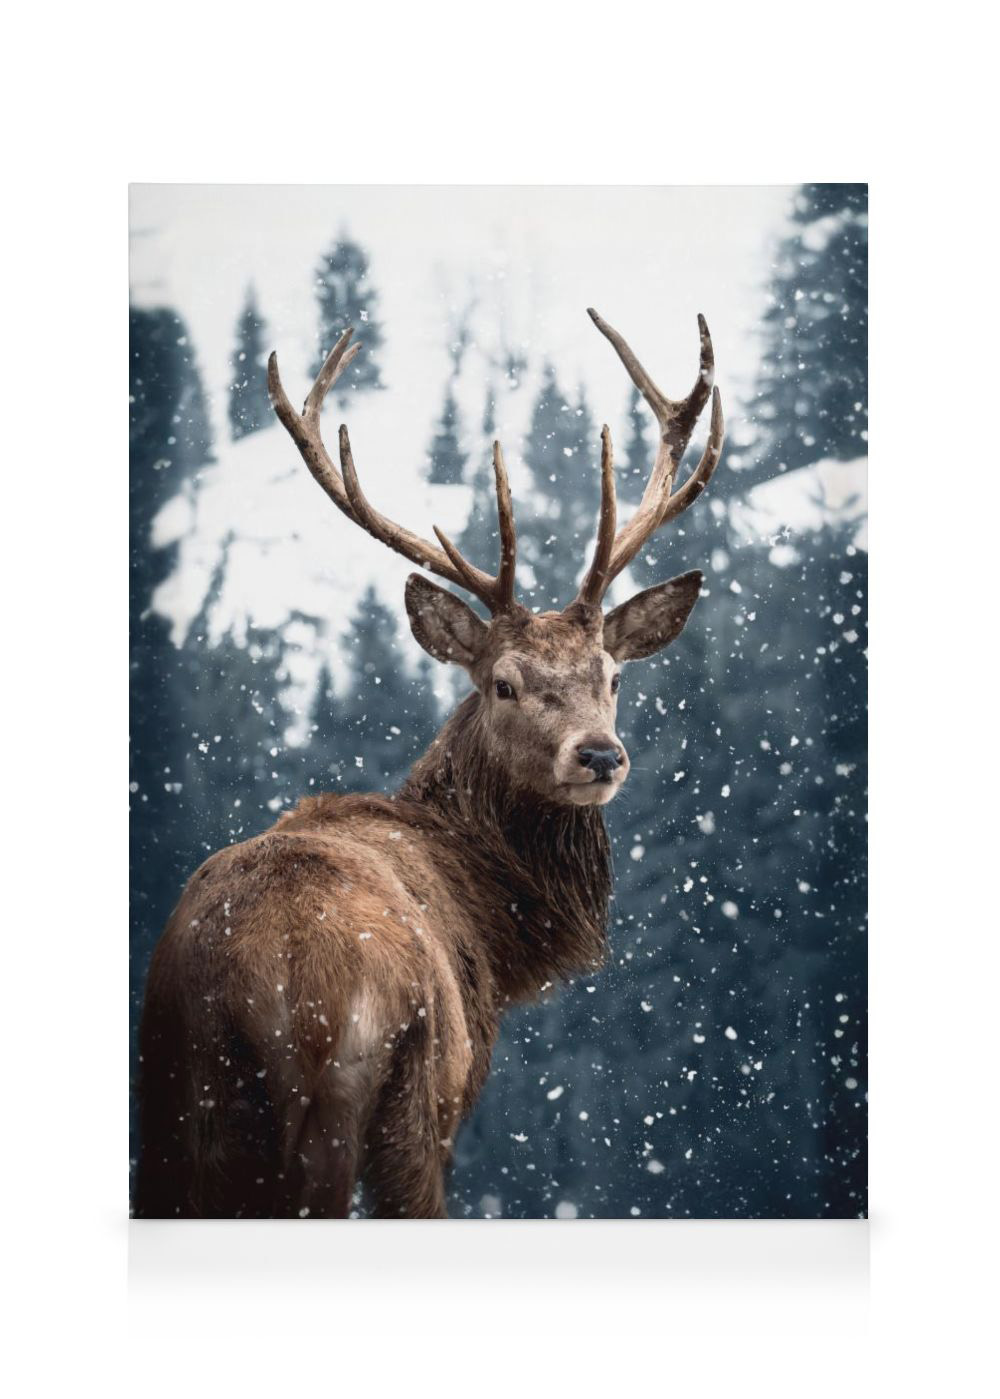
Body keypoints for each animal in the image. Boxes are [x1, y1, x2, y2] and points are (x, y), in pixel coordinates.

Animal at [135, 308, 724, 1219]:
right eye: (504, 682)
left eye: (614, 676)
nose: (599, 752)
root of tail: (266, 984)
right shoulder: (448, 1094)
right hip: (365, 1089)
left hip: (172, 1097)